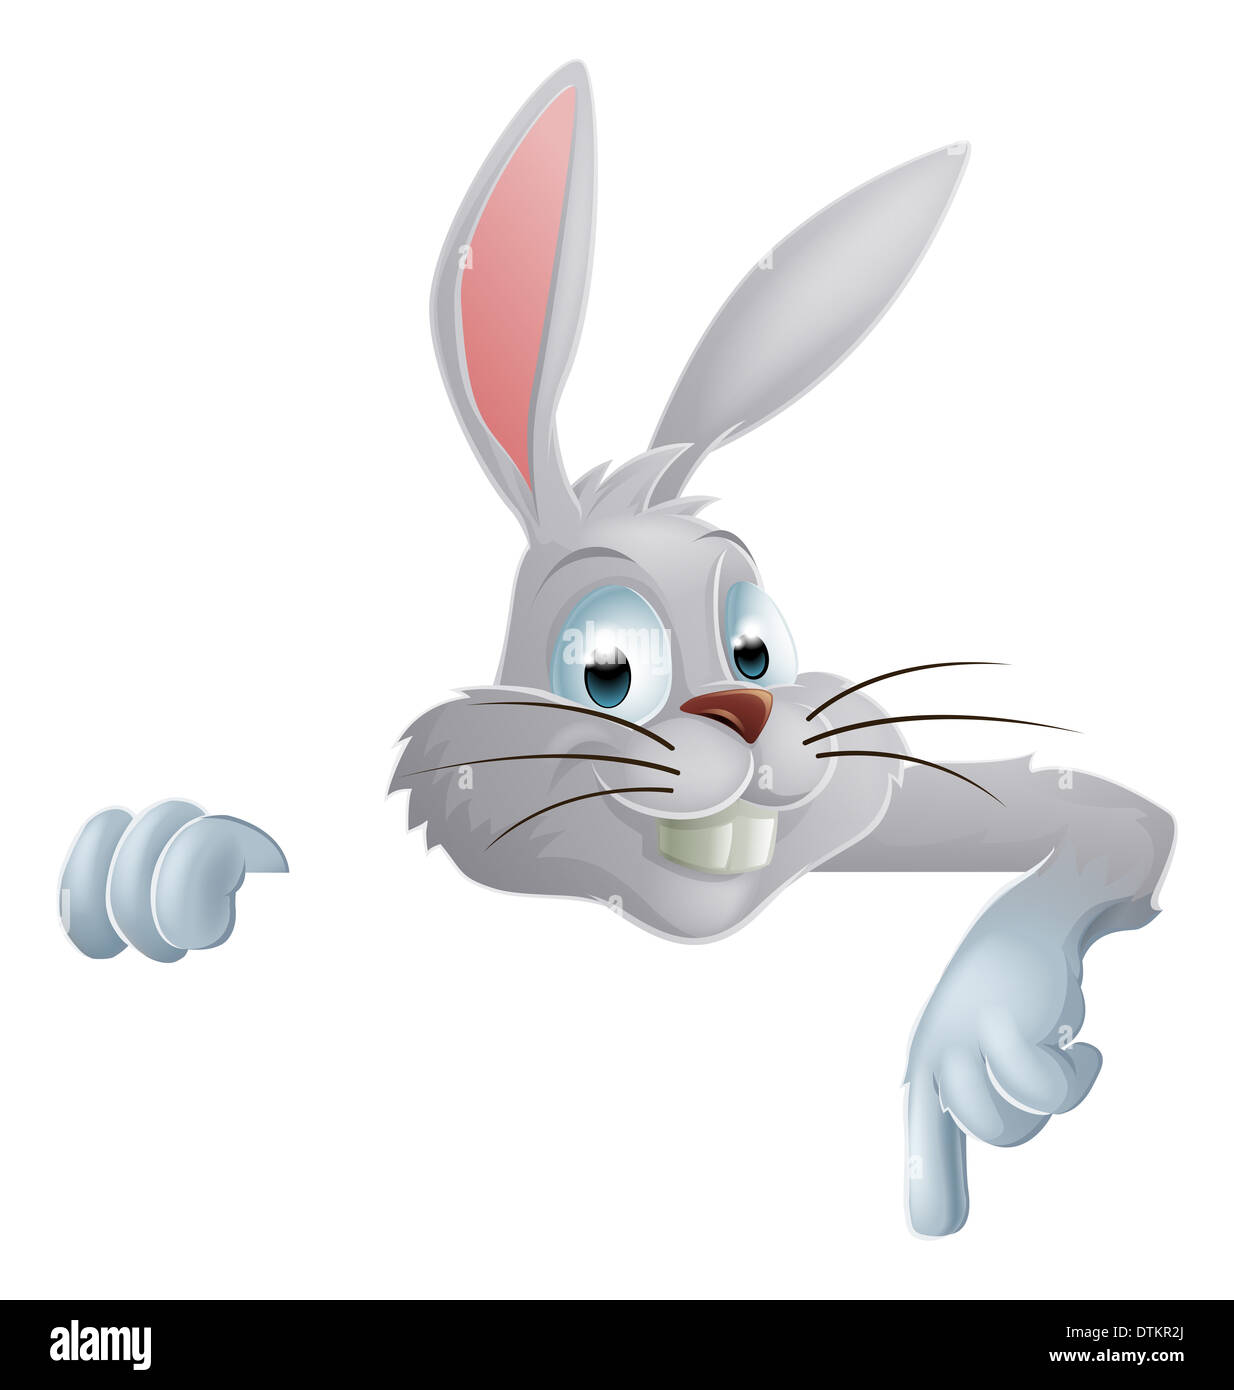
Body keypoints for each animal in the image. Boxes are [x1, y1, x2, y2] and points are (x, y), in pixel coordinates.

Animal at [389, 60, 1175, 1238]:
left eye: (755, 647)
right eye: (605, 669)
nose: (747, 712)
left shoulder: (895, 796)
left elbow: (1121, 817)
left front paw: (977, 1029)